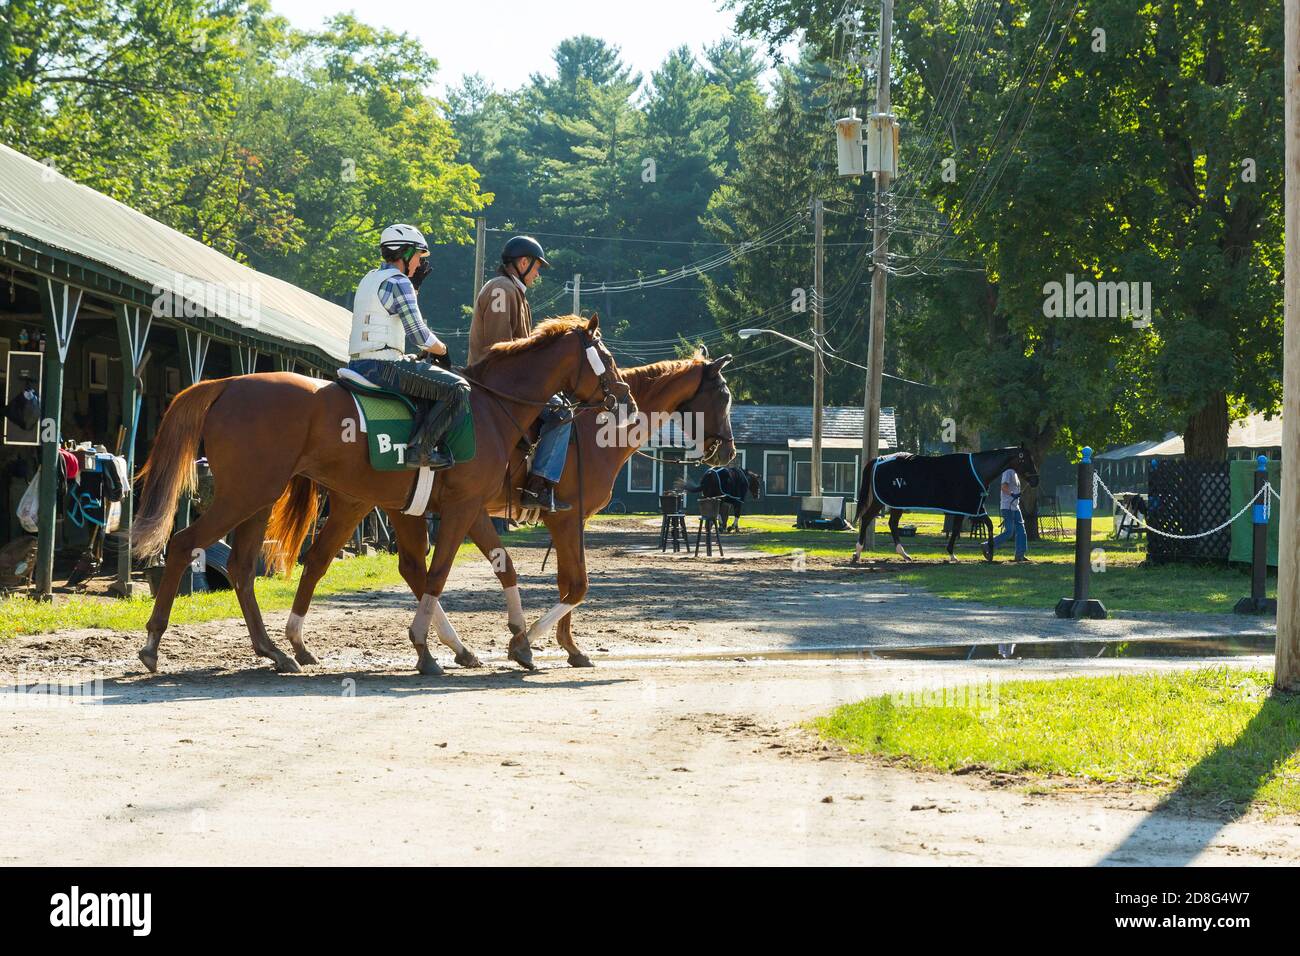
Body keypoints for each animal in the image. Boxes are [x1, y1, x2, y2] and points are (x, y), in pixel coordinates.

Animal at [130, 314, 631, 676]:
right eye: (605, 355)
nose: (623, 398)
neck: (492, 406)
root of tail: (229, 383)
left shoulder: (465, 509)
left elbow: (497, 565)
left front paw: (517, 642)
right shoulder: (463, 508)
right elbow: (438, 573)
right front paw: (427, 645)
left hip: (260, 498)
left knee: (242, 566)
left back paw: (276, 650)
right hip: (244, 495)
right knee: (184, 544)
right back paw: (153, 644)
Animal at [267, 353, 737, 669]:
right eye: (725, 395)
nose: (727, 451)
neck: (595, 431)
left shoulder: (553, 519)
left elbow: (563, 581)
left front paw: (569, 647)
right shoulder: (565, 517)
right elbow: (577, 585)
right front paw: (530, 641)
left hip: (384, 505)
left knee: (372, 564)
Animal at [850, 446, 1039, 563]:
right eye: (1027, 460)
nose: (1036, 481)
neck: (978, 470)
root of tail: (879, 459)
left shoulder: (971, 508)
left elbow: (977, 526)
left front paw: (981, 552)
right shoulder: (968, 507)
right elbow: (965, 528)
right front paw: (986, 552)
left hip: (896, 504)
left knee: (892, 524)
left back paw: (904, 554)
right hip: (881, 501)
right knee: (866, 519)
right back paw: (857, 552)